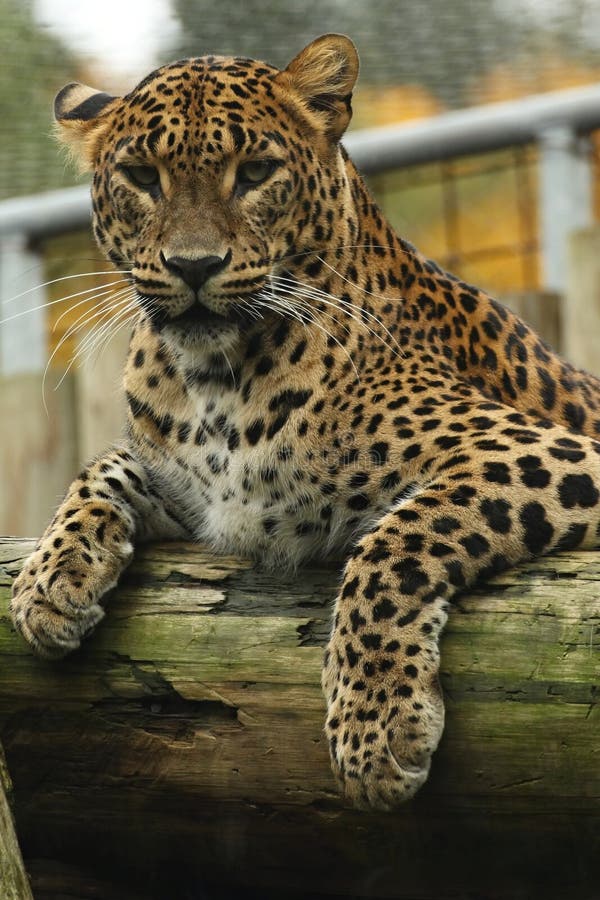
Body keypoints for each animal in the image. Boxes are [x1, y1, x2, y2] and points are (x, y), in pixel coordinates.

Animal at [10, 33, 600, 811]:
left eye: (256, 172)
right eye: (141, 176)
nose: (193, 266)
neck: (214, 384)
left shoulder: (544, 452)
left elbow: (397, 539)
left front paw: (375, 730)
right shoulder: (200, 497)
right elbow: (104, 466)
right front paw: (48, 583)